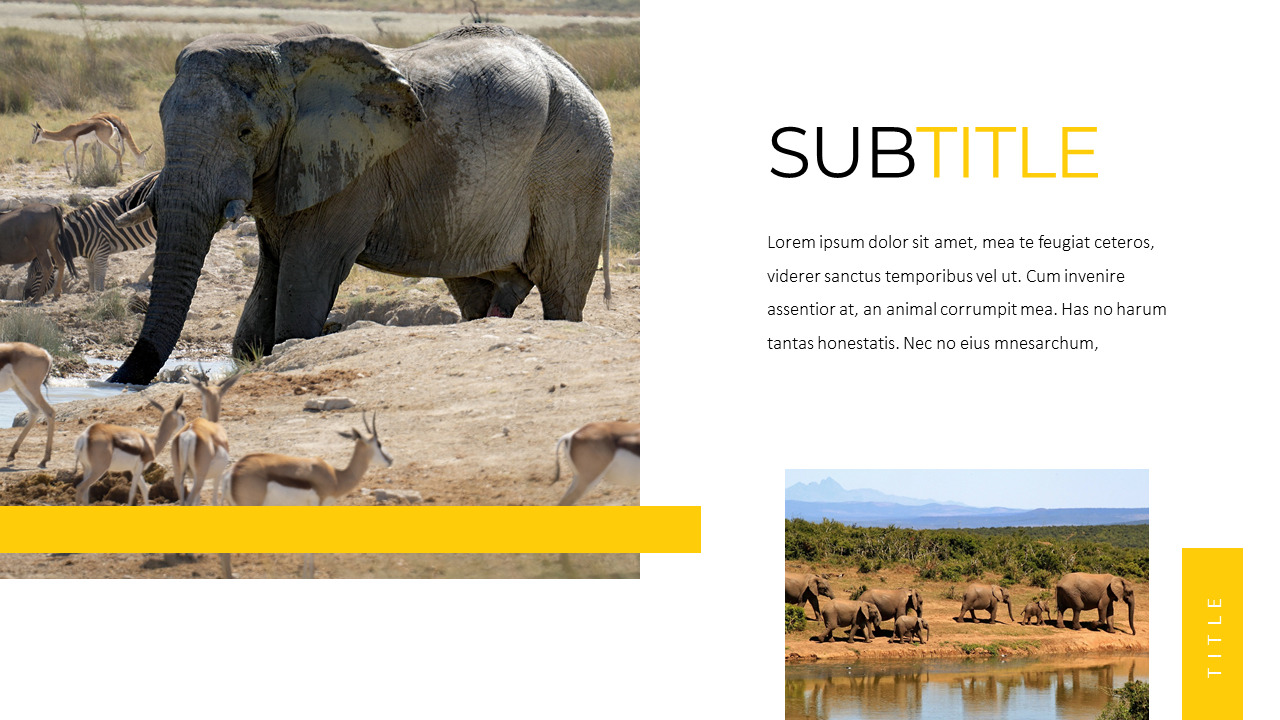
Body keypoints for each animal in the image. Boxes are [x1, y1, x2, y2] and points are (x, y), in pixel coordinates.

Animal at [108, 23, 613, 384]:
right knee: (476, 290)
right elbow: (268, 279)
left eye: (245, 132)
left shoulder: (353, 169)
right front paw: (253, 353)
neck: (284, 53)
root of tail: (575, 75)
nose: (115, 383)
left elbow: (308, 274)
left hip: (575, 163)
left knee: (561, 290)